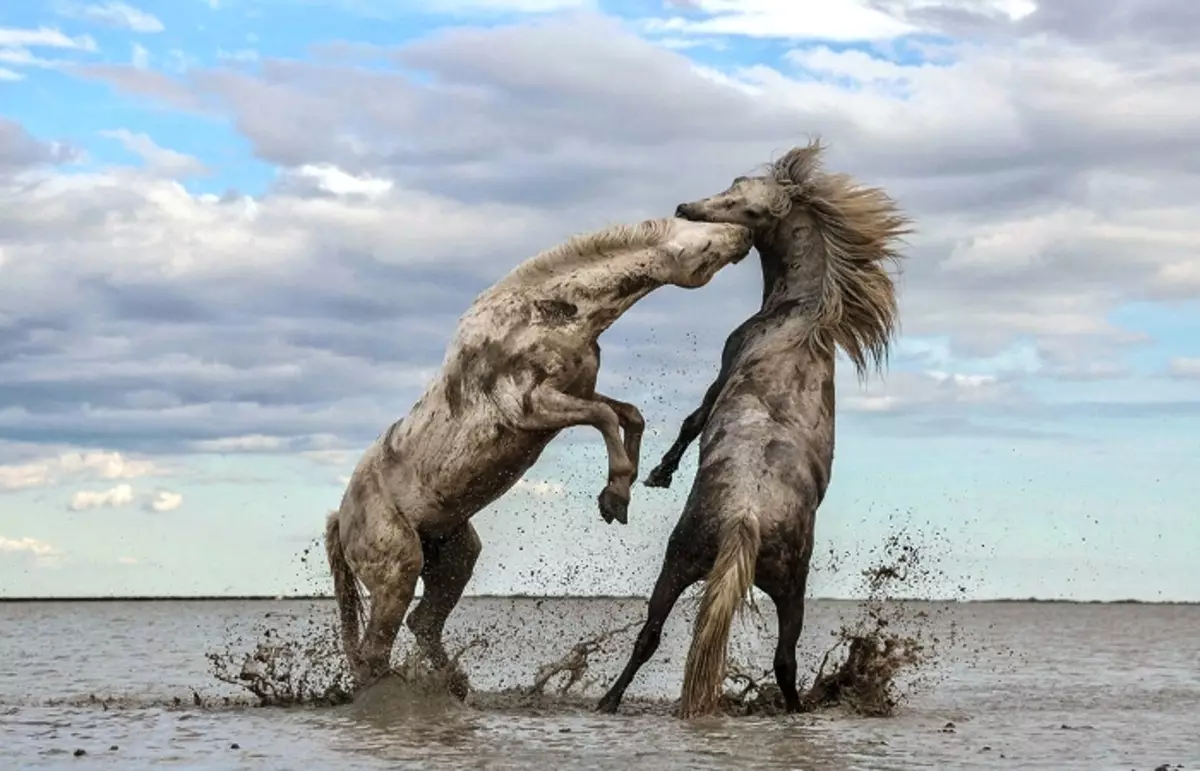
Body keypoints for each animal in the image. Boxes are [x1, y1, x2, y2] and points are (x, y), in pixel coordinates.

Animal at [319, 214, 748, 682]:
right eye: (702, 242)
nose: (744, 235)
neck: (542, 316)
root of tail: (342, 517)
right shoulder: (532, 407)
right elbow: (603, 417)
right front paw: (615, 494)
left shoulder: (577, 391)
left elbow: (629, 415)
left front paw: (627, 486)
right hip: (398, 570)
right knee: (375, 652)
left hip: (453, 556)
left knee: (423, 623)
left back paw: (455, 686)